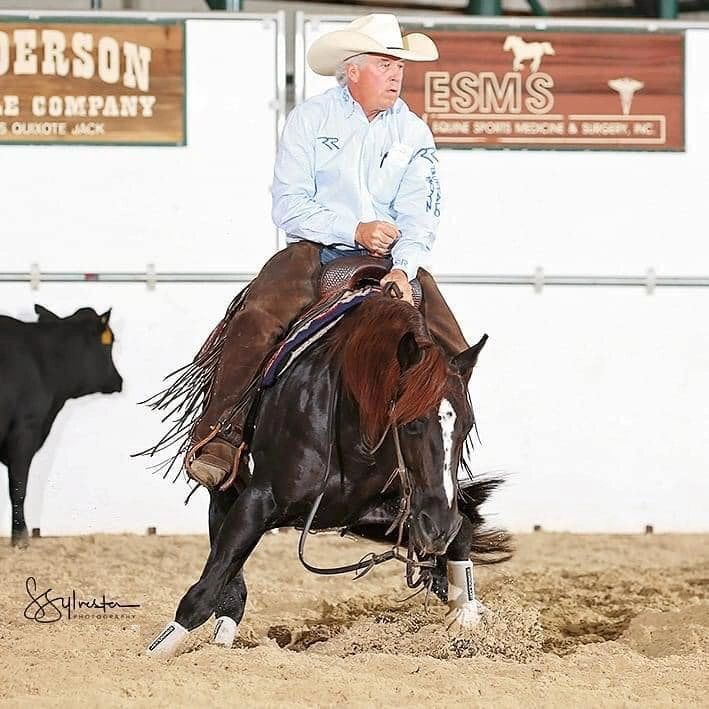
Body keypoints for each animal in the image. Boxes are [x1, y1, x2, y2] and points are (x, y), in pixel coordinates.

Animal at [144, 289, 511, 657]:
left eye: (467, 426)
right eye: (411, 424)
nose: (438, 526)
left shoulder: (373, 512)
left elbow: (463, 533)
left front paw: (467, 618)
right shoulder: (259, 499)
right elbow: (204, 591)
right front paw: (155, 652)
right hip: (226, 484)